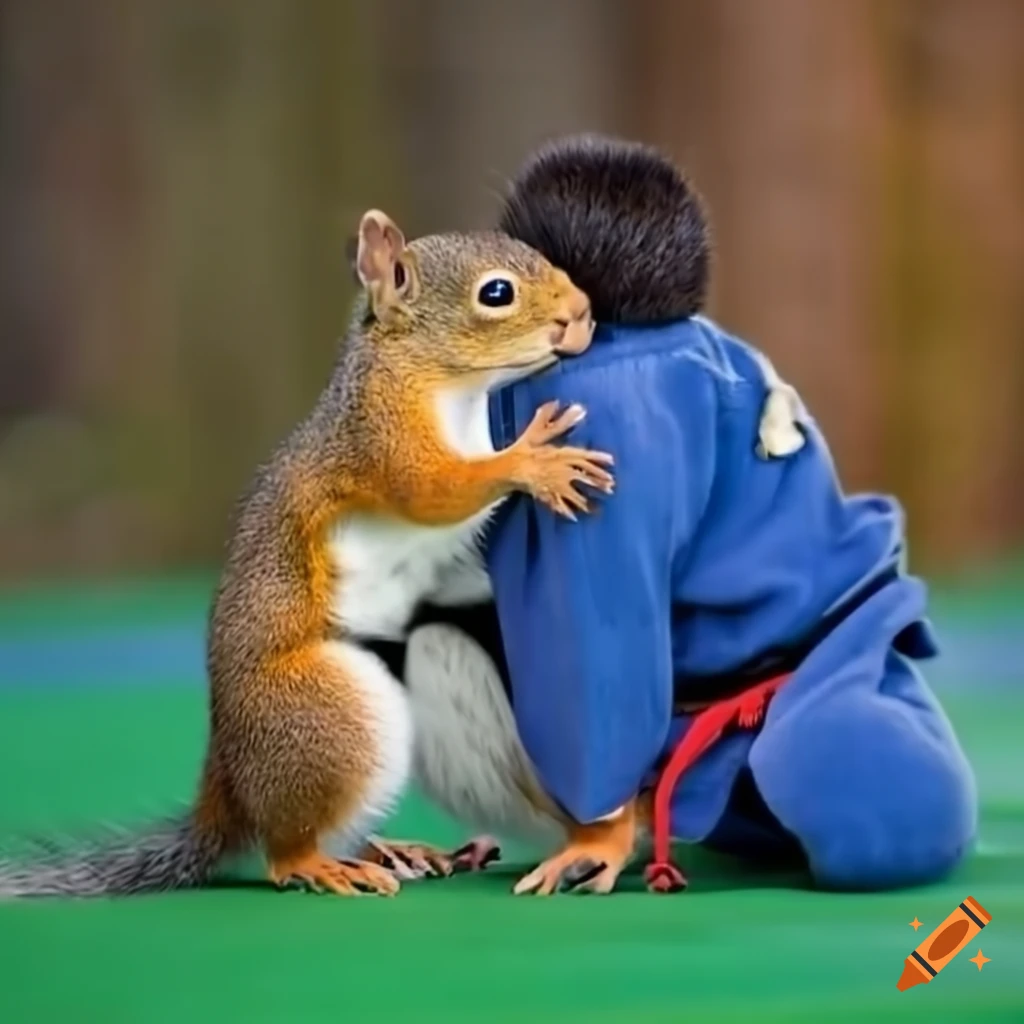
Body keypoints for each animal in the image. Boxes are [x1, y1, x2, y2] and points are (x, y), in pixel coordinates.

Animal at [0, 208, 614, 898]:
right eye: (497, 293)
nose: (583, 313)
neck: (433, 378)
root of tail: (230, 796)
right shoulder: (381, 439)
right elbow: (433, 488)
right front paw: (534, 459)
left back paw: (391, 849)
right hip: (329, 715)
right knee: (283, 850)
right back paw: (320, 865)